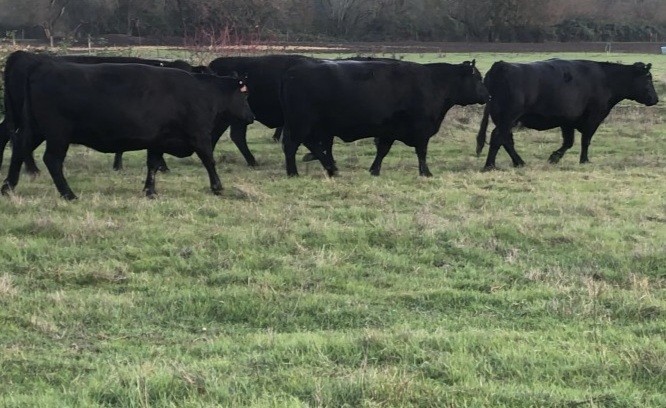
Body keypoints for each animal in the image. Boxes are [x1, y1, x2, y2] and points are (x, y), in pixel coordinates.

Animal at [279, 59, 489, 177]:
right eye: (478, 78)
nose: (489, 96)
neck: (434, 82)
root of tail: (293, 71)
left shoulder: (389, 131)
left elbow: (382, 151)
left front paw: (374, 170)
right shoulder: (421, 131)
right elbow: (421, 152)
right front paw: (426, 173)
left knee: (309, 145)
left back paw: (331, 169)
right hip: (302, 124)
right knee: (293, 146)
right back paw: (295, 172)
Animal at [476, 59, 659, 171]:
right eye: (648, 79)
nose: (655, 99)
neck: (606, 79)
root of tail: (501, 66)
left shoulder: (567, 120)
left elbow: (569, 142)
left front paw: (554, 157)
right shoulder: (593, 117)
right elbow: (585, 140)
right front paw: (584, 160)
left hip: (506, 119)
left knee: (505, 139)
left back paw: (519, 162)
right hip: (508, 117)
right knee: (498, 137)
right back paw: (490, 165)